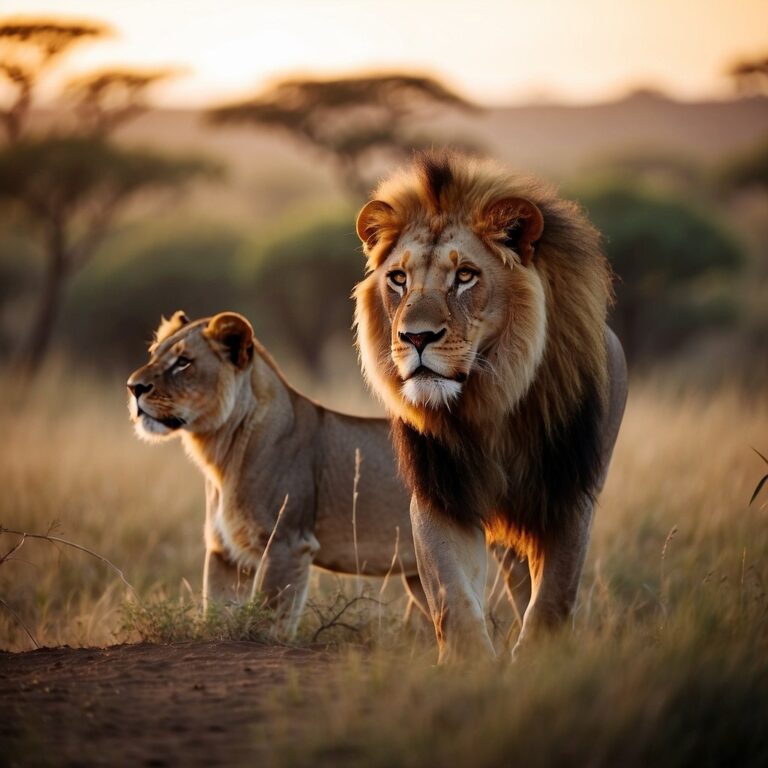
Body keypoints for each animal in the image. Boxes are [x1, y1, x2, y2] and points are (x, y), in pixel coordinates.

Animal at [126, 310, 429, 637]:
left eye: (183, 362)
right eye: (154, 354)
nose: (133, 387)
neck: (221, 455)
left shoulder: (288, 543)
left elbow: (268, 624)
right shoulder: (225, 552)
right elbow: (215, 616)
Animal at [353, 151, 628, 663]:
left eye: (465, 276)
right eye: (398, 279)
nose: (416, 338)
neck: (490, 402)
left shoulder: (569, 494)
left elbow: (554, 594)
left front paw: (541, 661)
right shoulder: (442, 493)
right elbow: (452, 596)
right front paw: (470, 665)